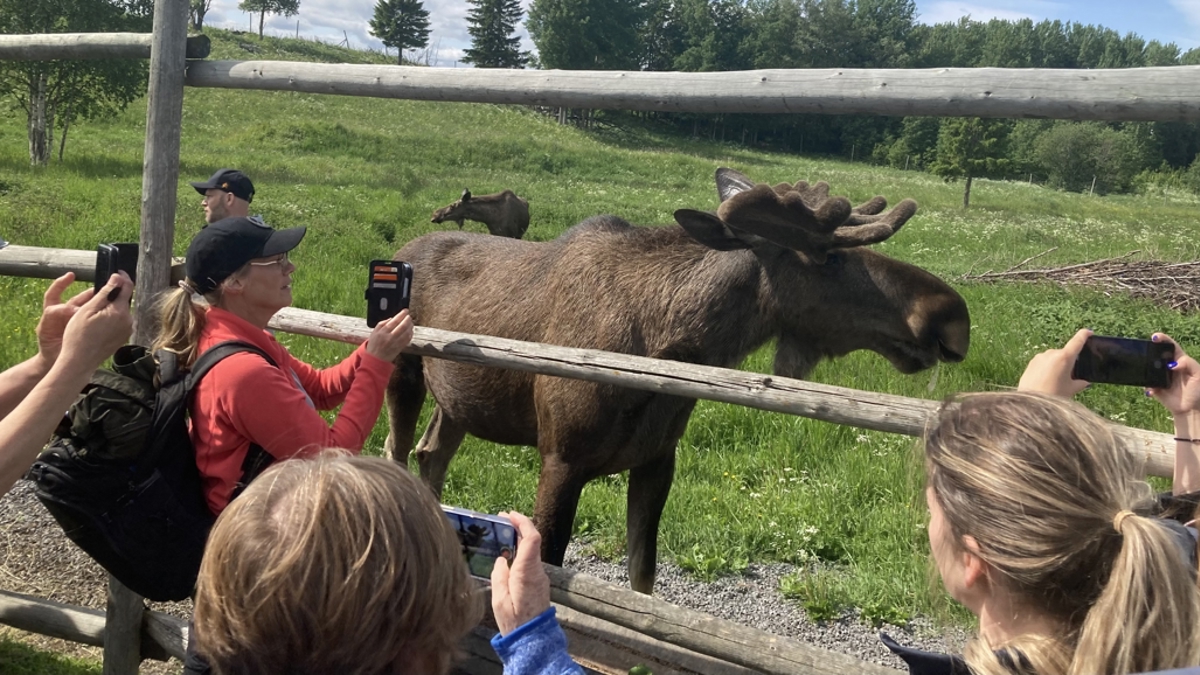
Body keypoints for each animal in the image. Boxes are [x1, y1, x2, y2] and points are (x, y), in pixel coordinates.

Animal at [386, 168, 971, 594]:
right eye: (825, 256)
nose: (951, 315)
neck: (668, 349)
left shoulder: (657, 459)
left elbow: (642, 580)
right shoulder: (561, 456)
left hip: (458, 402)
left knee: (431, 453)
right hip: (405, 372)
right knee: (398, 450)